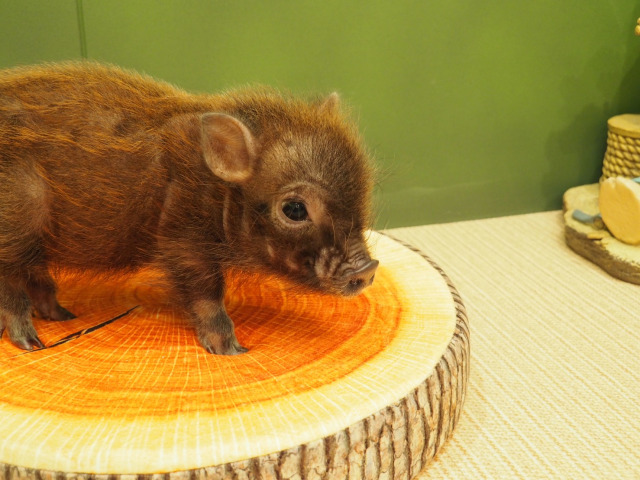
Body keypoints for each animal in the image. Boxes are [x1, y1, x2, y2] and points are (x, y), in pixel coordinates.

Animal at [0, 62, 378, 355]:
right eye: (295, 210)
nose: (368, 267)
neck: (214, 187)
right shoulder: (184, 243)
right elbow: (207, 294)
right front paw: (231, 350)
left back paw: (64, 317)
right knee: (13, 289)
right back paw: (32, 343)